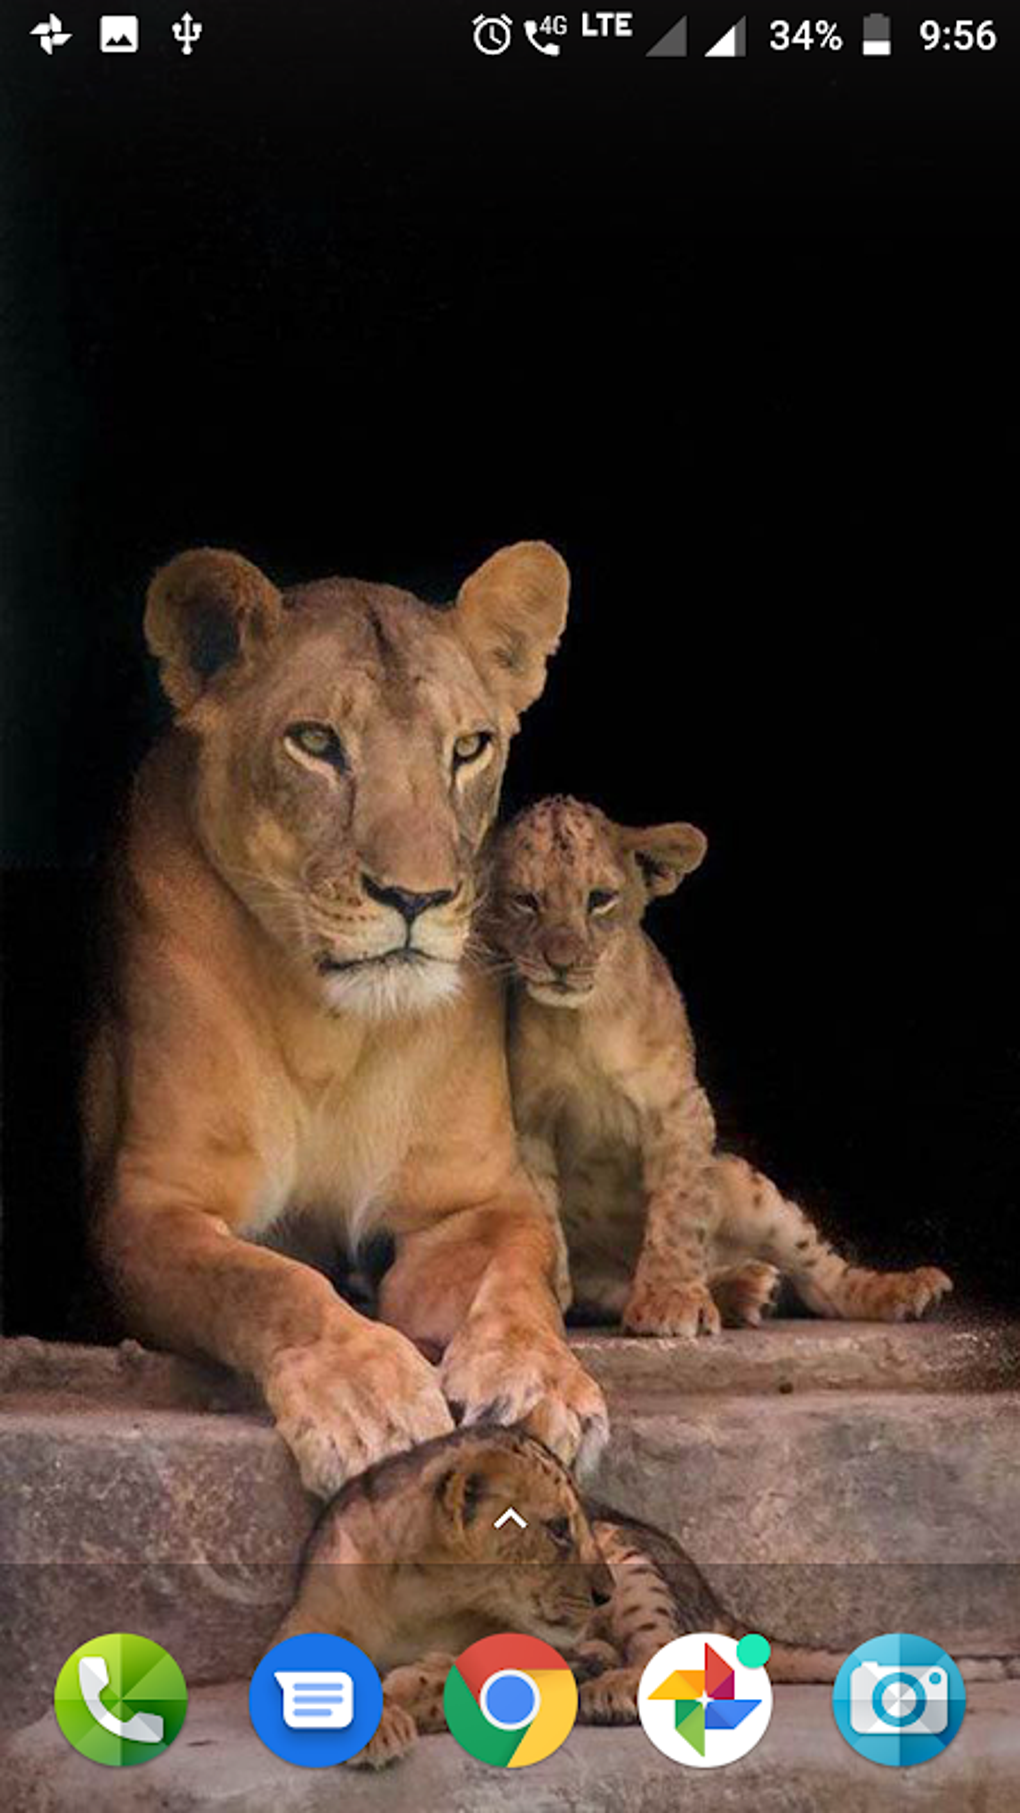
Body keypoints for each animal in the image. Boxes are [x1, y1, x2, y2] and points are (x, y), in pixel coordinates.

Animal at [83, 547, 607, 1498]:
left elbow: (519, 1277)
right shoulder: (149, 1201)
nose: (417, 897)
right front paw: (366, 1395)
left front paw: (544, 1381)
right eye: (317, 742)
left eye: (468, 746)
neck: (328, 1023)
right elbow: (262, 1277)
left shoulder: (474, 1198)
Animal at [483, 796, 952, 1335]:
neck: (582, 1021)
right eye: (525, 900)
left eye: (599, 899)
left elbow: (677, 1213)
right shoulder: (527, 1122)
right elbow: (541, 1210)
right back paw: (746, 1288)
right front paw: (543, 1295)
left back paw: (902, 1290)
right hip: (609, 1279)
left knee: (822, 1281)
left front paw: (670, 1299)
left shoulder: (680, 1108)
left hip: (741, 1182)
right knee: (624, 1290)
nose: (561, 963)